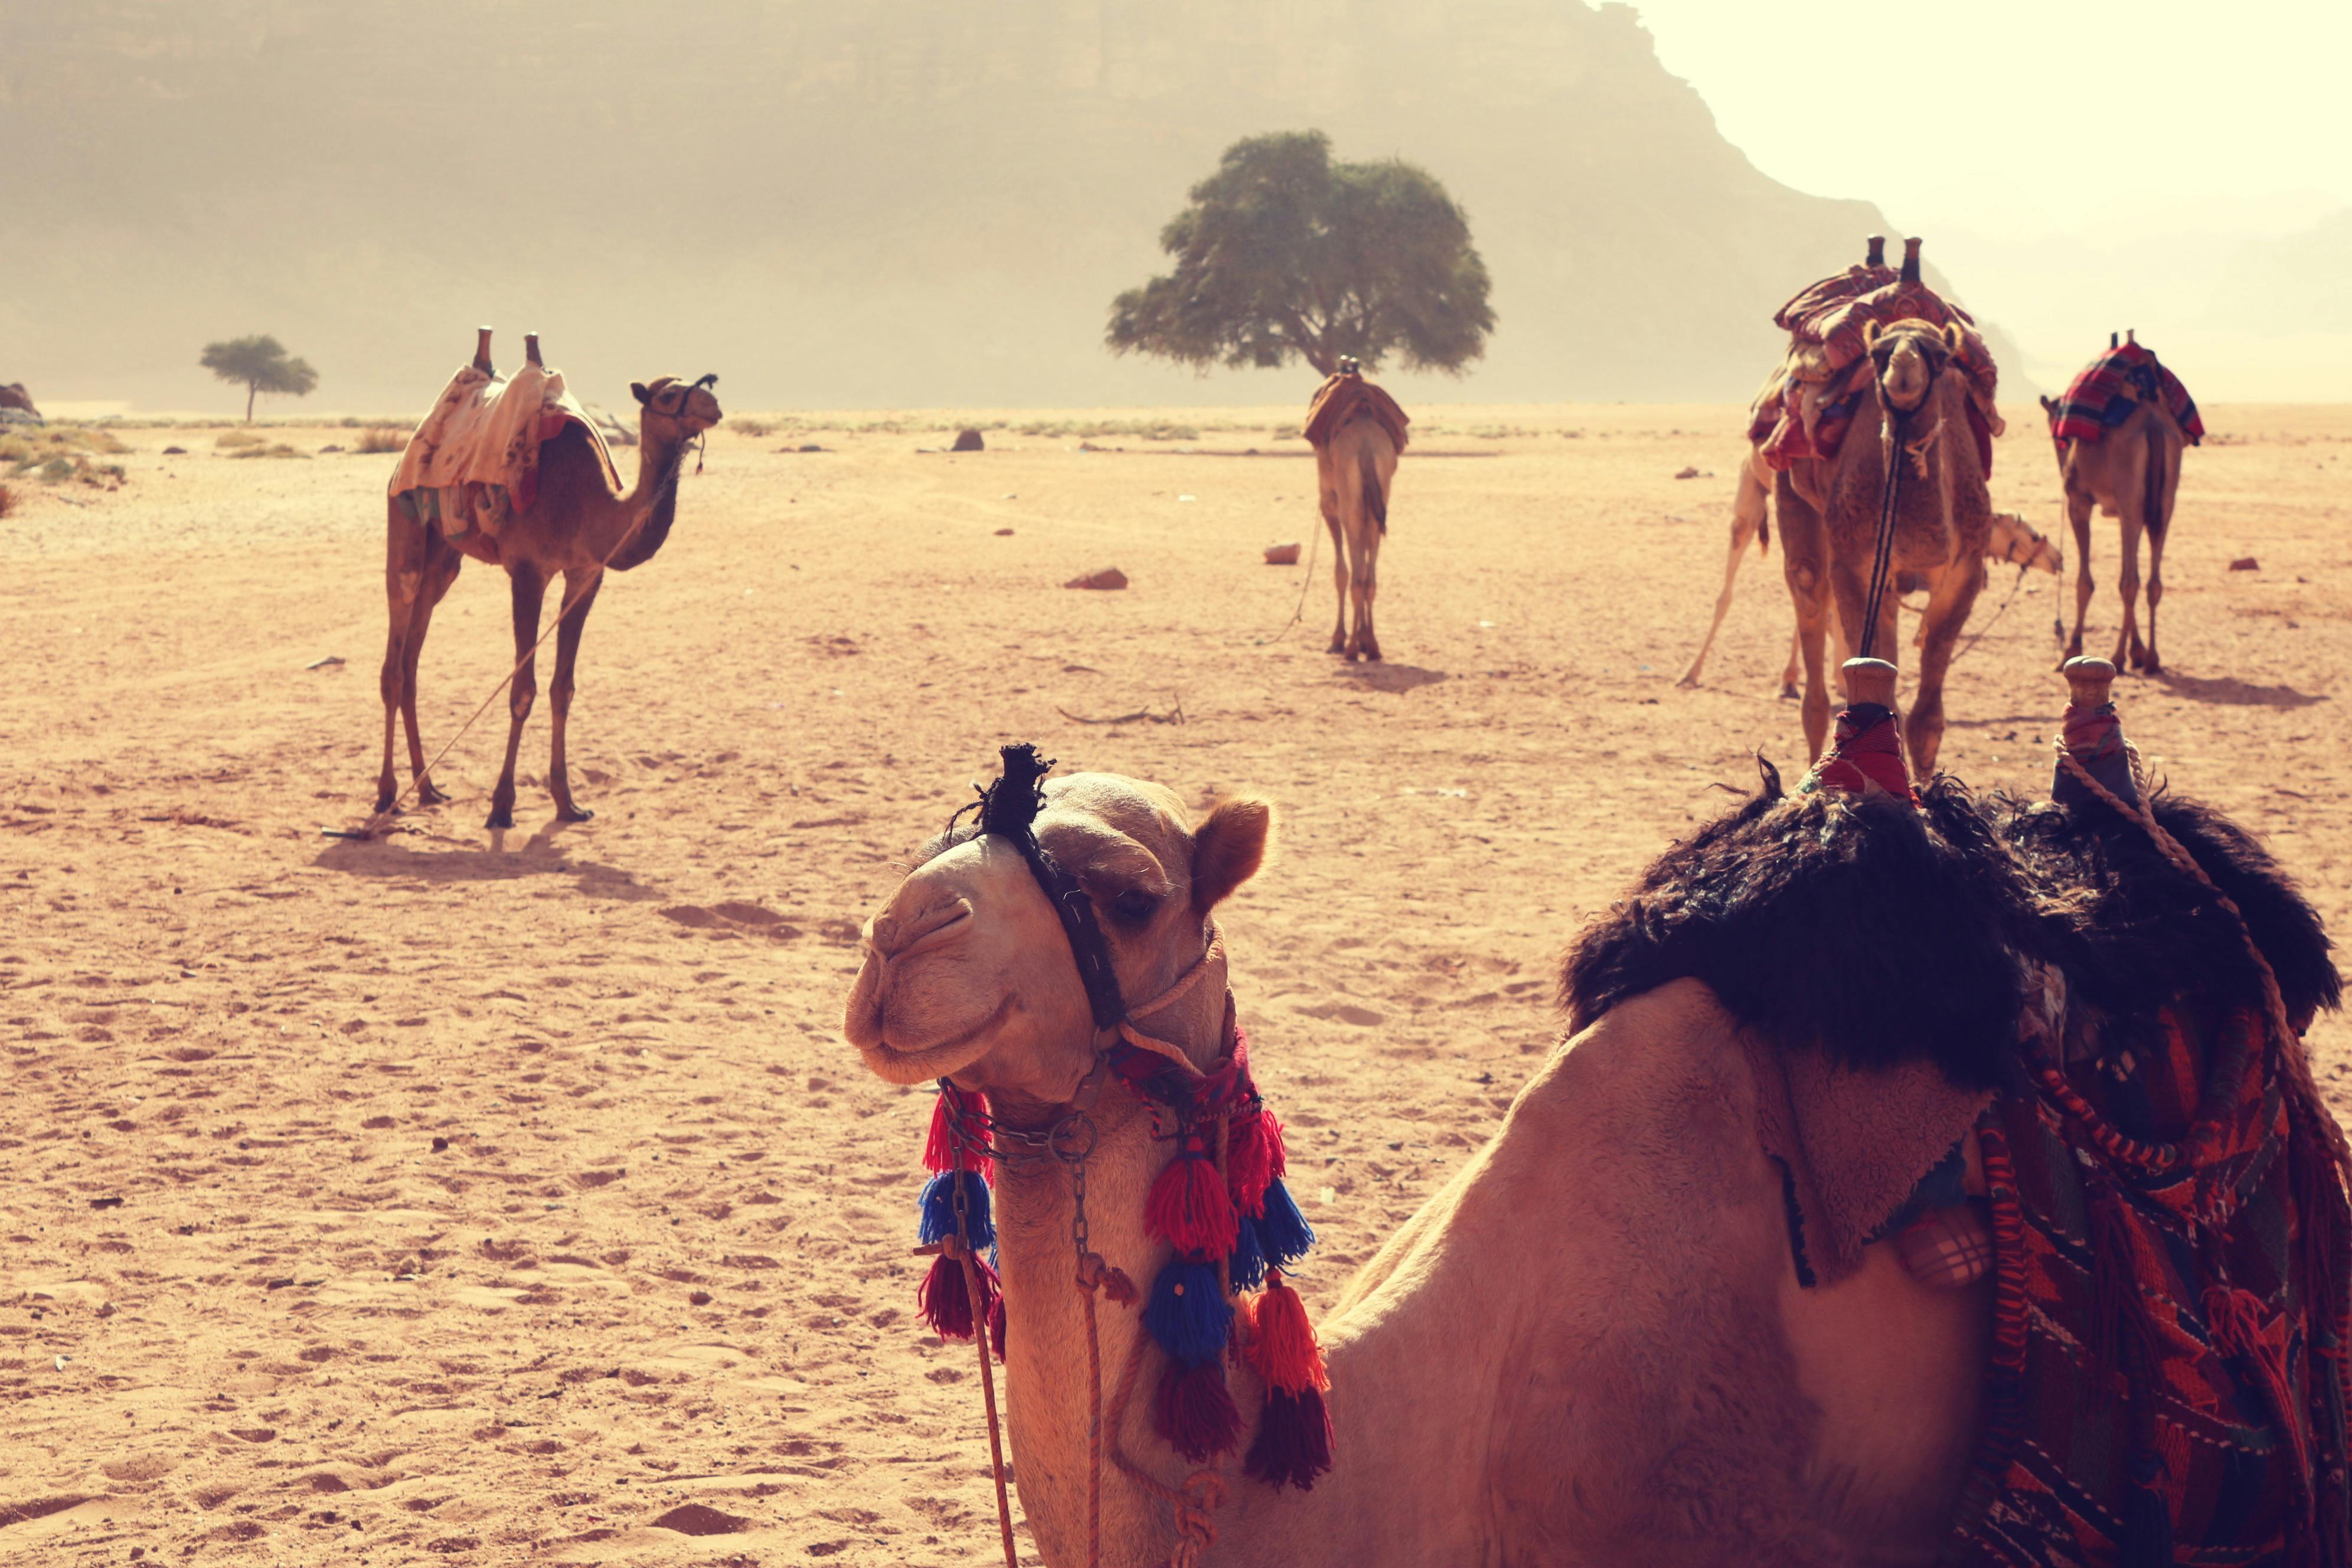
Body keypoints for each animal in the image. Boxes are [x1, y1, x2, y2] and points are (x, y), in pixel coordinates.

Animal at [374, 355, 720, 827]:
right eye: (669, 395)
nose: (714, 405)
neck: (589, 505)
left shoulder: (586, 575)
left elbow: (563, 689)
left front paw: (567, 801)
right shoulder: (528, 572)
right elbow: (523, 691)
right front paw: (502, 805)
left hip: (445, 555)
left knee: (413, 658)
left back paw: (428, 788)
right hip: (404, 517)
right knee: (395, 652)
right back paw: (387, 793)